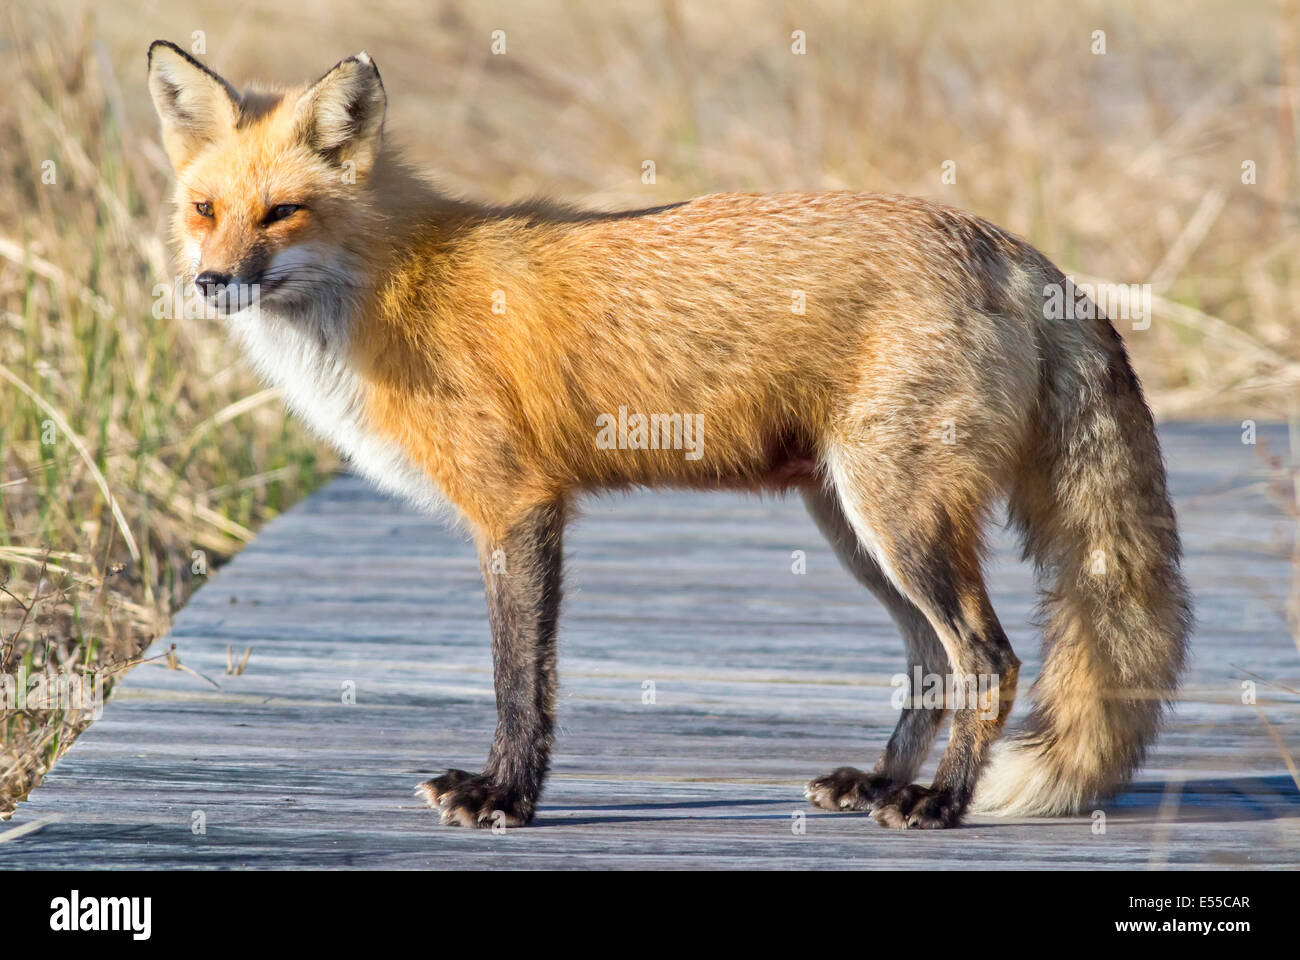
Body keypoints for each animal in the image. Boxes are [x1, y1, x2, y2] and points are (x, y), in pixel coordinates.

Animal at [146, 40, 1191, 830]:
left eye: (283, 211)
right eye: (205, 210)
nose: (213, 281)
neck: (395, 288)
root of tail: (1007, 245)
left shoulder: (518, 506)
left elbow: (521, 678)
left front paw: (506, 796)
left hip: (900, 521)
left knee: (989, 658)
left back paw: (939, 803)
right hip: (855, 527)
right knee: (934, 663)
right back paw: (883, 782)